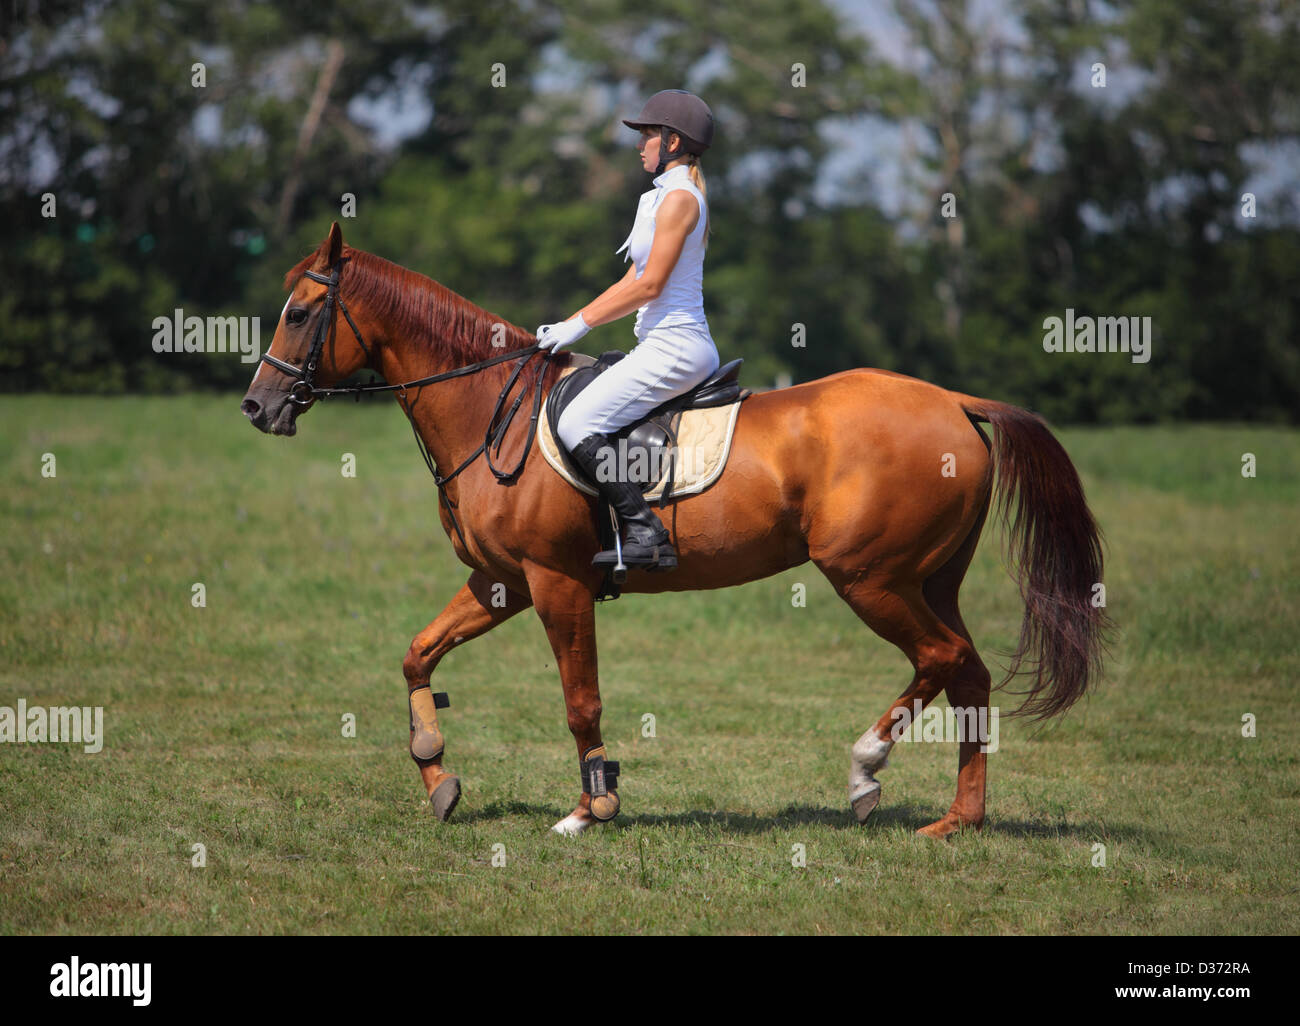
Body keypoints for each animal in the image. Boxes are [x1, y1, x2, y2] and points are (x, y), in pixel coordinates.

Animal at [241, 222, 1111, 838]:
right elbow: (418, 655)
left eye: (300, 313)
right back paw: (957, 821)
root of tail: (954, 401)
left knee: (941, 659)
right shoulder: (501, 583)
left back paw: (866, 773)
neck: (492, 410)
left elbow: (581, 701)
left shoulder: (556, 583)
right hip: (929, 578)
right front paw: (439, 777)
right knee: (968, 673)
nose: (257, 407)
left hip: (869, 577)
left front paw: (590, 810)